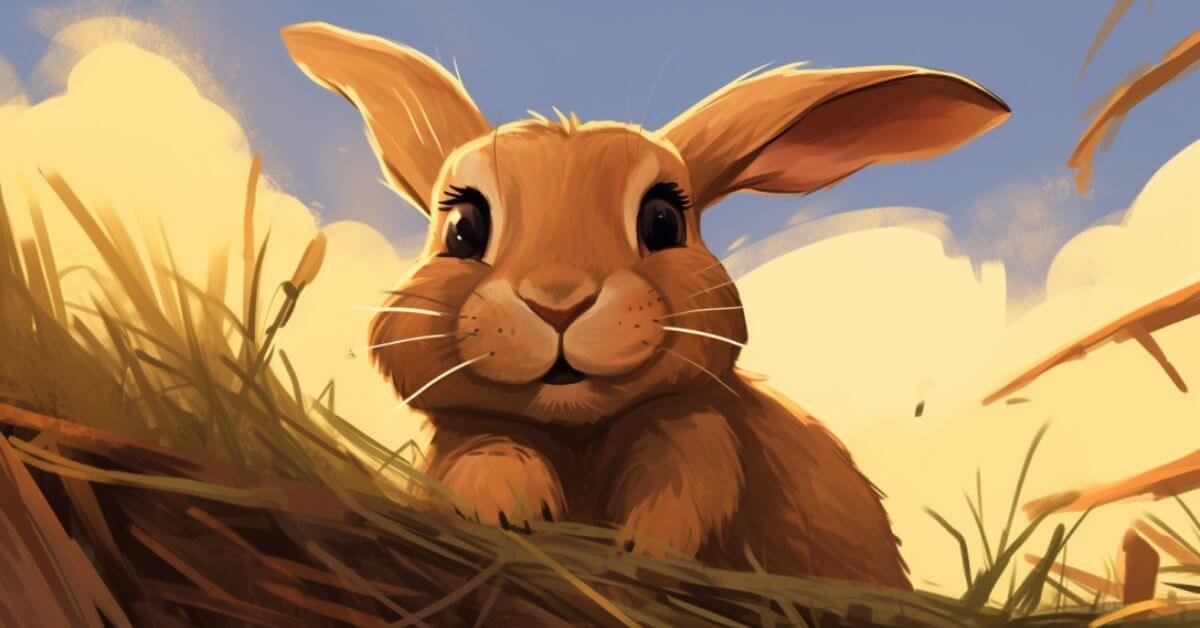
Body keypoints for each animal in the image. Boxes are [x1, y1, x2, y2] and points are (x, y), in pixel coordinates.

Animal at [282, 22, 1009, 589]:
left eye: (662, 220)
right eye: (463, 229)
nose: (558, 302)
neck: (577, 431)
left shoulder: (699, 436)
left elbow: (682, 493)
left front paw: (639, 551)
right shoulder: (467, 434)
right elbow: (484, 459)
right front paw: (509, 510)